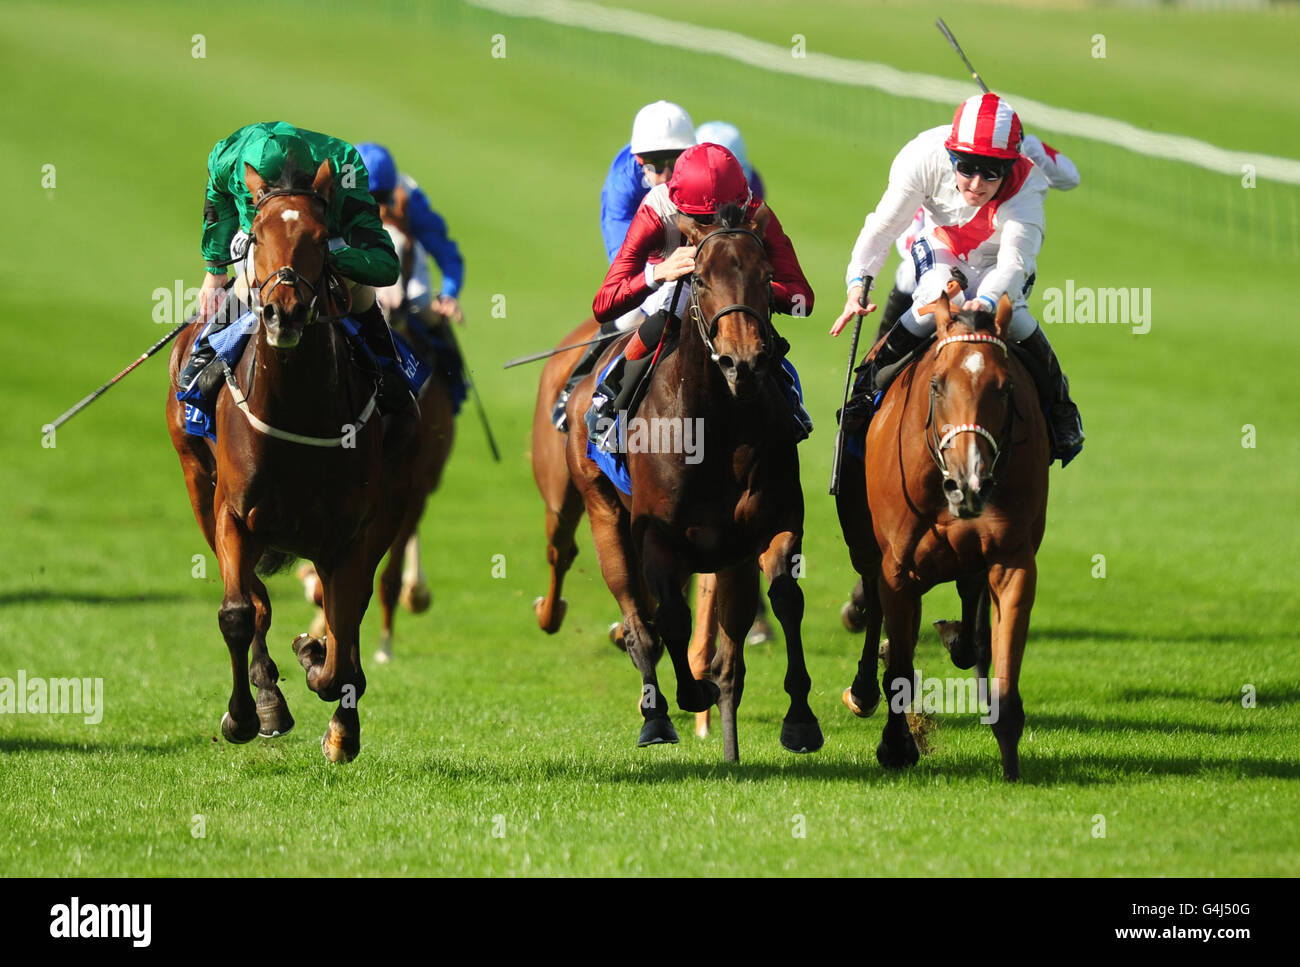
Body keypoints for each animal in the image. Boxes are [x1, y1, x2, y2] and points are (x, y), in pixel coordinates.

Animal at [165, 158, 419, 762]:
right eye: (256, 237)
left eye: (321, 239)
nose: (283, 312)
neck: (298, 410)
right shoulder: (233, 512)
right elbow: (239, 613)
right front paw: (244, 713)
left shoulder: (351, 533)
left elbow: (342, 623)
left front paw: (335, 708)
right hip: (198, 485)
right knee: (256, 603)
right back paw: (268, 699)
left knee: (347, 608)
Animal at [558, 205, 821, 763]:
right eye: (698, 278)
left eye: (766, 275)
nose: (742, 362)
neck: (717, 426)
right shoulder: (657, 536)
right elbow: (672, 619)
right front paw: (688, 693)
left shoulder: (773, 524)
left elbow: (786, 600)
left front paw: (800, 721)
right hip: (603, 513)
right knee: (639, 624)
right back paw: (657, 716)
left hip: (731, 556)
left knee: (731, 646)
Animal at [835, 291, 1049, 781]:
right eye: (937, 385)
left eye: (1005, 388)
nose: (970, 483)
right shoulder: (898, 566)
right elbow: (896, 662)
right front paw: (896, 746)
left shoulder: (1013, 559)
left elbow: (1002, 657)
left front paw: (1010, 758)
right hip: (862, 535)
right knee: (873, 596)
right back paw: (865, 687)